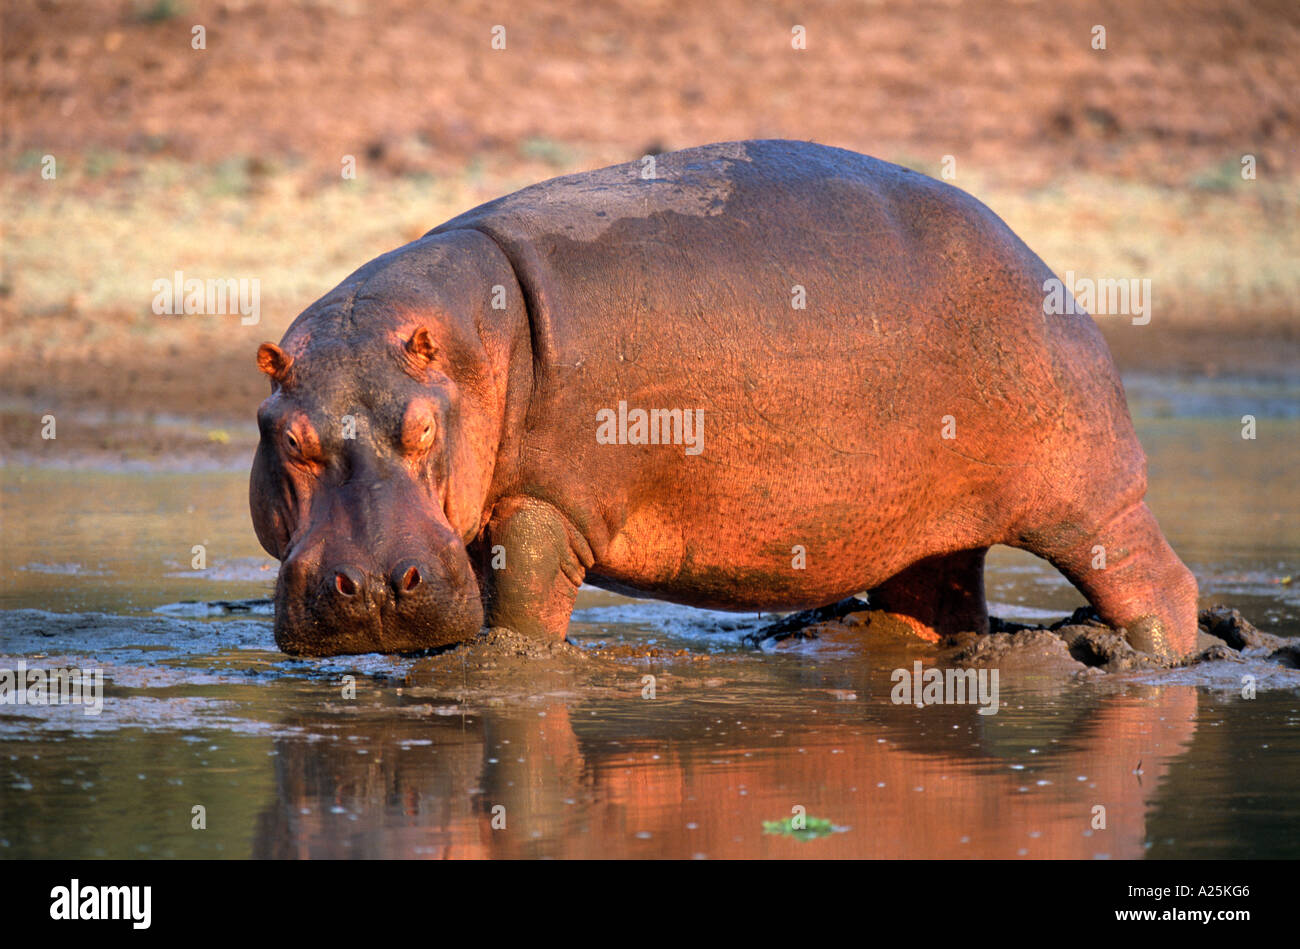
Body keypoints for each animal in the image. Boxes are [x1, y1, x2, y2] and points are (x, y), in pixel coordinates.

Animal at [250, 139, 1198, 660]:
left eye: (421, 428)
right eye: (288, 438)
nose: (374, 587)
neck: (464, 346)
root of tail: (1041, 262)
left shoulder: (548, 503)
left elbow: (521, 617)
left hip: (1085, 492)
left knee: (1154, 577)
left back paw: (1146, 662)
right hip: (925, 527)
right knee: (938, 599)